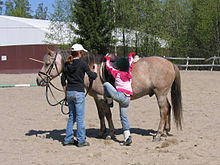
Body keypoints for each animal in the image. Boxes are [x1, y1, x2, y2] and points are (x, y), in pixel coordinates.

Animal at [36, 48, 183, 141]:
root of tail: (170, 63)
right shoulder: (97, 98)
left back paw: (158, 134)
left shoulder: (102, 98)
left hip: (160, 93)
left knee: (163, 111)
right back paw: (165, 132)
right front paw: (102, 132)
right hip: (162, 94)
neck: (91, 69)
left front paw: (110, 134)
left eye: (47, 63)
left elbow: (107, 115)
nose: (39, 80)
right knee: (169, 108)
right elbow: (101, 115)